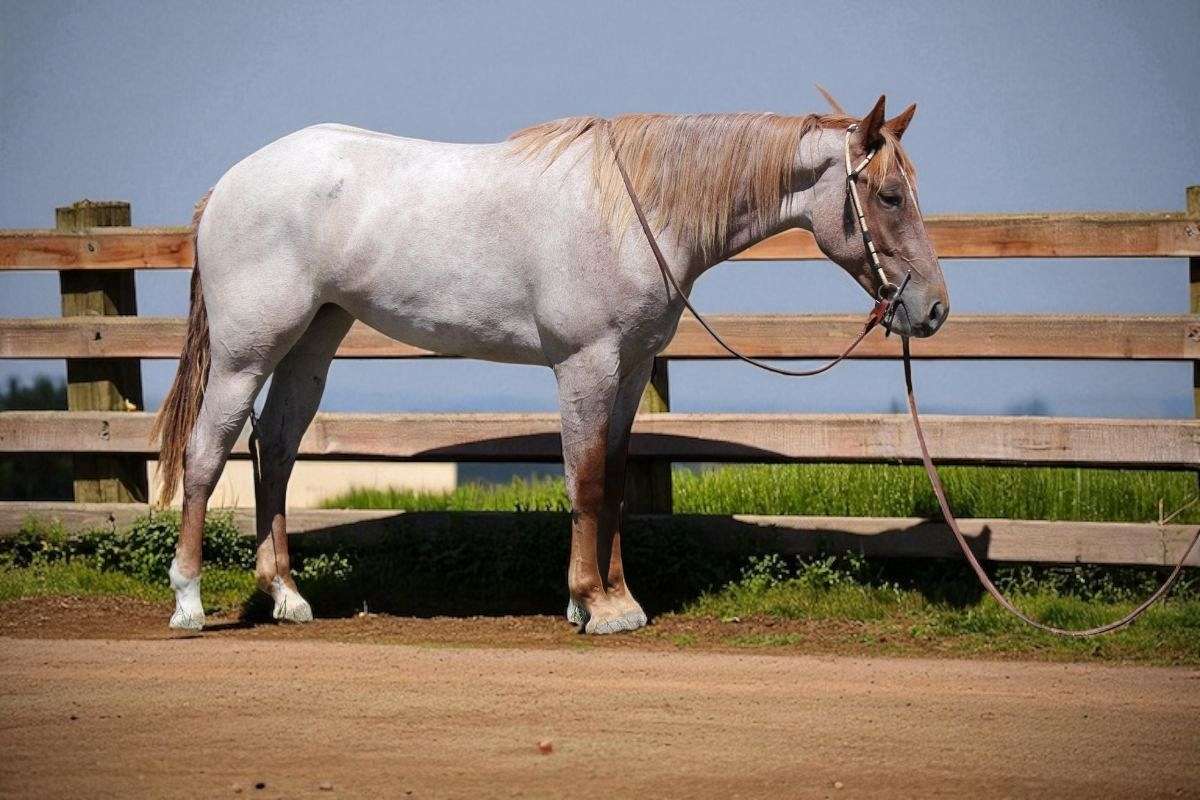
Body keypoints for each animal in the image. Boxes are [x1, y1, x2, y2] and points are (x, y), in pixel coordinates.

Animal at [154, 94, 949, 634]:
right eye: (888, 195)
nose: (934, 309)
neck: (635, 210)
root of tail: (226, 188)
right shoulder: (585, 365)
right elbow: (586, 479)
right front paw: (592, 603)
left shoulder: (630, 369)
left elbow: (616, 483)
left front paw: (619, 598)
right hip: (245, 354)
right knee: (207, 454)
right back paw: (189, 599)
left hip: (313, 341)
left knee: (276, 449)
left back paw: (285, 596)